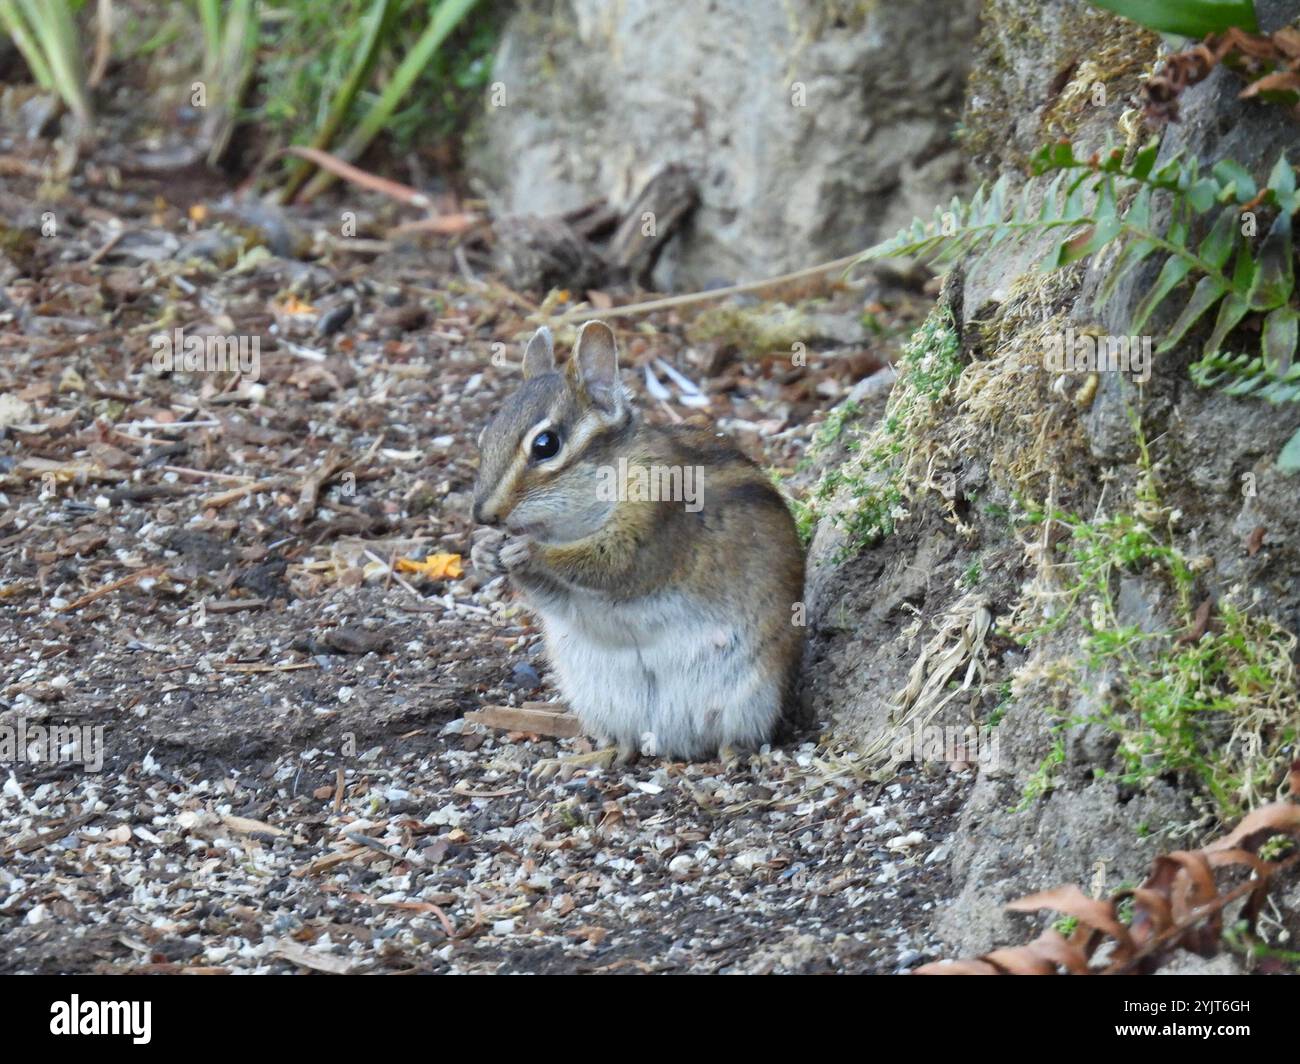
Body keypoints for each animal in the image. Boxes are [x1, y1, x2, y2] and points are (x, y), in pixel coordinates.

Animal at [471, 321, 805, 770]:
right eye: (485, 436)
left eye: (546, 445)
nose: (482, 514)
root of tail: (672, 741)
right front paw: (484, 550)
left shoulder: (652, 522)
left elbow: (612, 565)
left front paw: (530, 553)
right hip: (603, 701)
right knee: (623, 746)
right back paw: (576, 760)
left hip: (752, 695)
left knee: (735, 736)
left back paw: (735, 755)